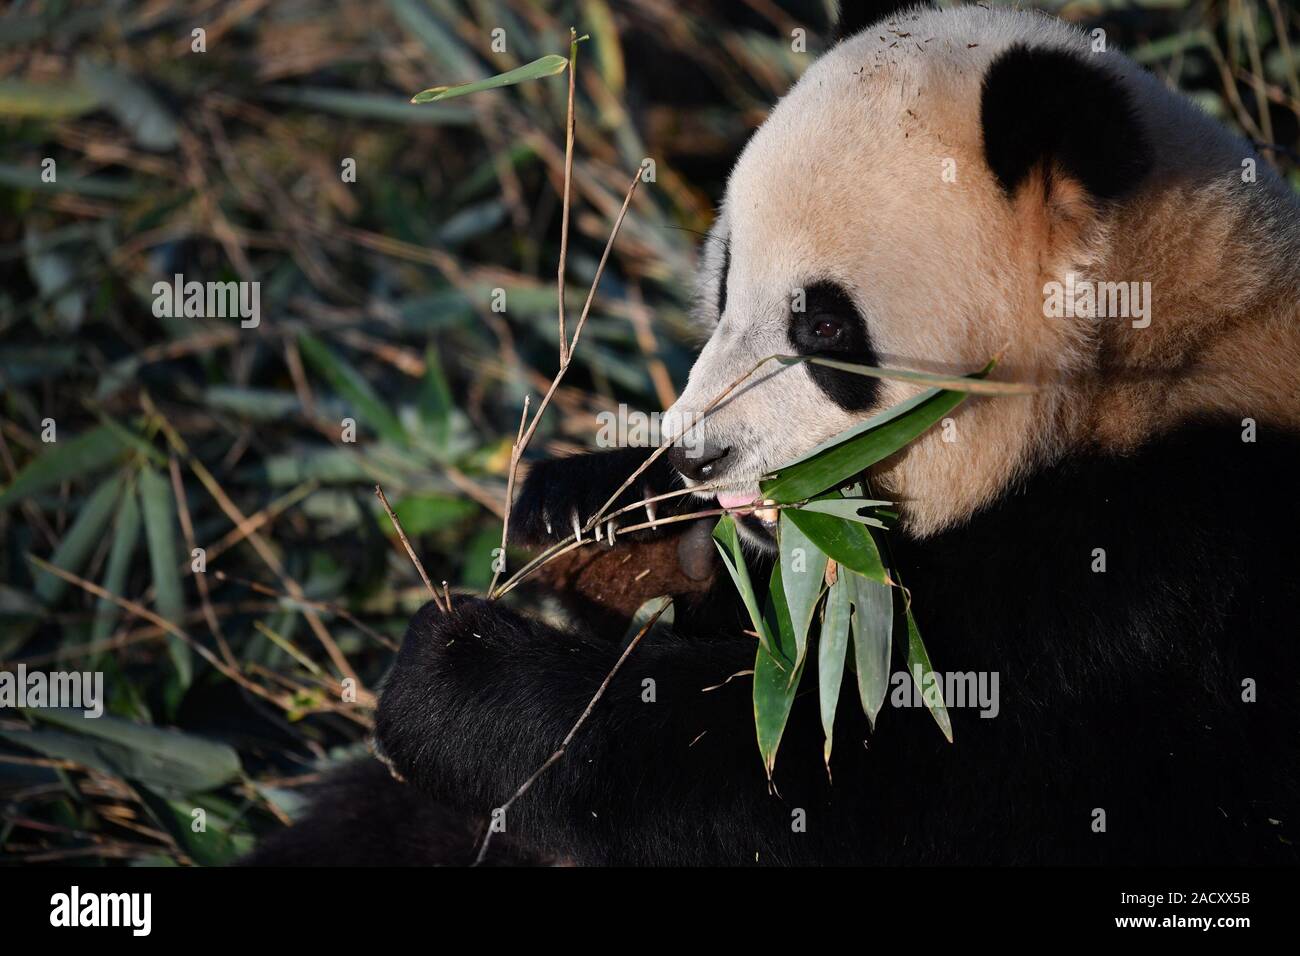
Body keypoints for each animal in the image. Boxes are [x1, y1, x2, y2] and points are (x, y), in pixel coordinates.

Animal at [245, 1, 1300, 865]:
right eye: (721, 284)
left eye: (822, 327)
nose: (699, 455)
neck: (1149, 363)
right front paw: (583, 520)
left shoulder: (1155, 578)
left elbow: (827, 770)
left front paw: (455, 674)